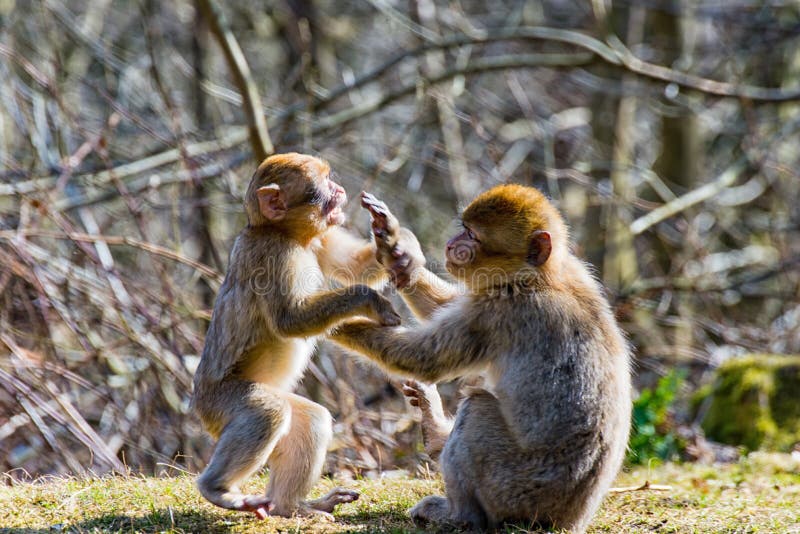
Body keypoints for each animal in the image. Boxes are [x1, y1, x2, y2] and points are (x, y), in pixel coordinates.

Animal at [192, 153, 401, 520]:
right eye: (325, 185)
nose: (340, 189)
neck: (285, 233)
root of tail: (199, 404)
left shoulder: (319, 240)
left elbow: (356, 268)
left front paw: (388, 232)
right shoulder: (273, 256)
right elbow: (290, 321)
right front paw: (370, 301)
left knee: (311, 420)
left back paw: (290, 507)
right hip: (218, 403)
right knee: (269, 411)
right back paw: (218, 489)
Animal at [332, 186, 632, 532]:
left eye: (472, 236)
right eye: (463, 228)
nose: (451, 244)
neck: (540, 277)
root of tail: (569, 520)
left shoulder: (500, 313)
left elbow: (426, 357)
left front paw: (332, 324)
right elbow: (447, 305)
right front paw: (397, 252)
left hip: (515, 490)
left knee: (477, 407)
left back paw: (458, 514)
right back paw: (436, 433)